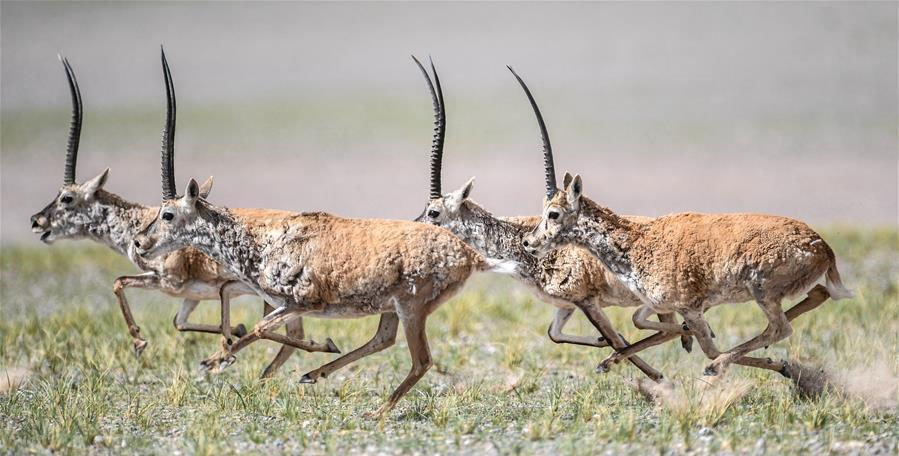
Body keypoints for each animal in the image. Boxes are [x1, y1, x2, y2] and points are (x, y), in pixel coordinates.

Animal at [29, 50, 334, 378]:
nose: (36, 221)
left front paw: (141, 343)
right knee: (290, 336)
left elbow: (120, 282)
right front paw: (234, 333)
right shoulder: (190, 295)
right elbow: (179, 321)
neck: (138, 222)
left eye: (67, 198)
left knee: (288, 333)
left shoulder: (169, 282)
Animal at [131, 57, 499, 416]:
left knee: (420, 360)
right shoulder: (285, 305)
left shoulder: (304, 303)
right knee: (384, 339)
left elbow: (263, 328)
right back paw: (314, 375)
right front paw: (224, 360)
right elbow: (265, 330)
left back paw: (375, 410)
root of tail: (467, 254)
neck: (261, 242)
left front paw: (317, 346)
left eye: (167, 214)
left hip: (411, 308)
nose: (139, 243)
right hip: (394, 308)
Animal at [412, 60, 695, 382]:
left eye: (434, 212)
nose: (413, 228)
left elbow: (616, 339)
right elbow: (556, 334)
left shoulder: (587, 301)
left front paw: (650, 374)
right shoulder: (565, 306)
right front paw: (603, 345)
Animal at [518, 72, 853, 378]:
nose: (529, 242)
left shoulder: (689, 307)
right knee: (816, 296)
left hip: (763, 292)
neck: (637, 241)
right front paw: (611, 359)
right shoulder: (672, 306)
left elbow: (708, 346)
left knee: (778, 329)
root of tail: (823, 247)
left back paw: (735, 367)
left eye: (553, 213)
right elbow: (648, 325)